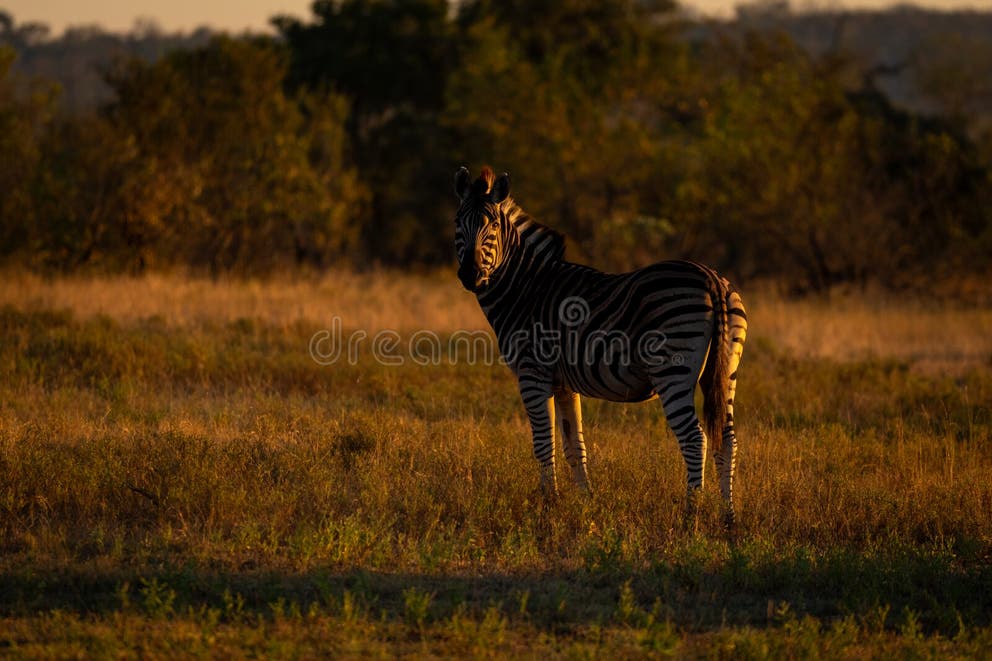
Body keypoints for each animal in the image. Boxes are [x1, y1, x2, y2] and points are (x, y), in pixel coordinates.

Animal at [453, 166, 748, 528]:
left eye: (492, 226)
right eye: (458, 222)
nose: (470, 275)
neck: (524, 288)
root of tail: (711, 278)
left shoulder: (532, 374)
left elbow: (544, 443)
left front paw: (548, 503)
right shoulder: (564, 383)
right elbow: (574, 445)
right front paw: (585, 503)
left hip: (673, 370)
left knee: (695, 439)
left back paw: (689, 516)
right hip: (724, 371)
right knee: (726, 439)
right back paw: (728, 517)